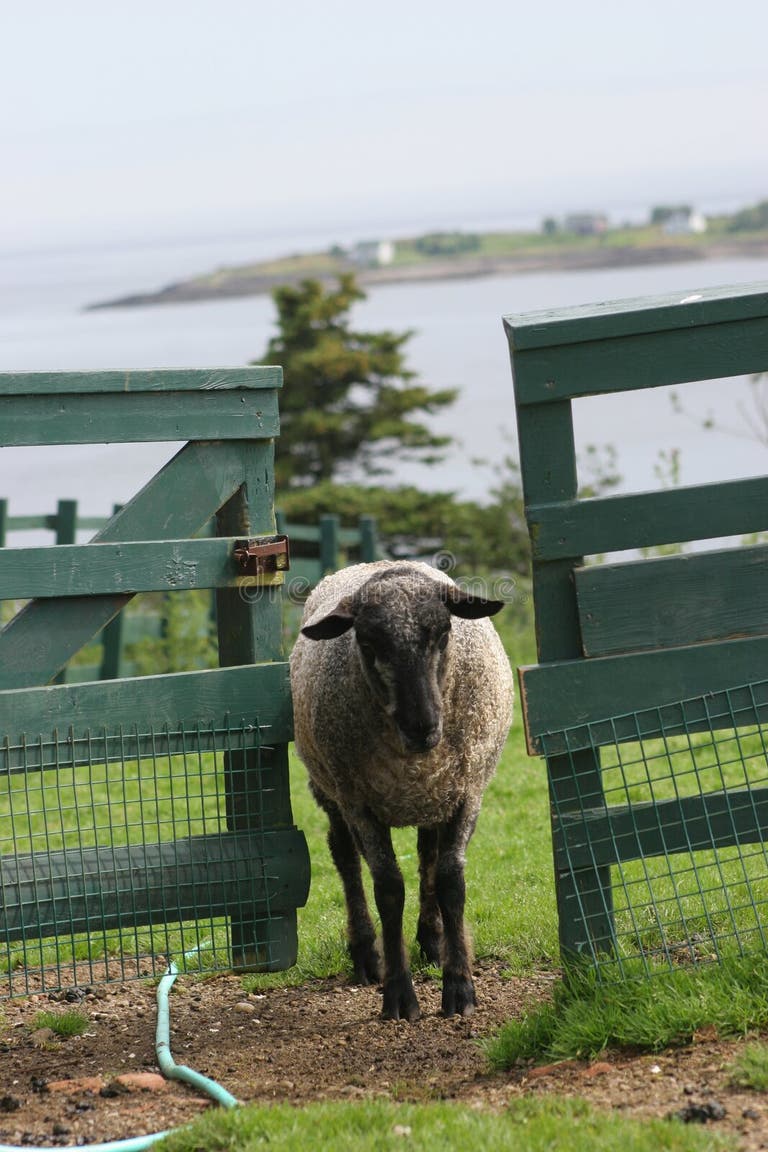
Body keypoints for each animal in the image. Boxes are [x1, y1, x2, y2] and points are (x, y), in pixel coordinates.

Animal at [289, 559, 514, 1021]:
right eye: (367, 640)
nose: (421, 725)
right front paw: (398, 994)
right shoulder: (359, 803)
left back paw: (432, 940)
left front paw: (459, 987)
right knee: (345, 857)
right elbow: (389, 889)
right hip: (331, 789)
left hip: (433, 795)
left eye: (443, 632)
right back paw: (365, 953)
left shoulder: (466, 792)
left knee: (428, 855)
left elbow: (450, 880)